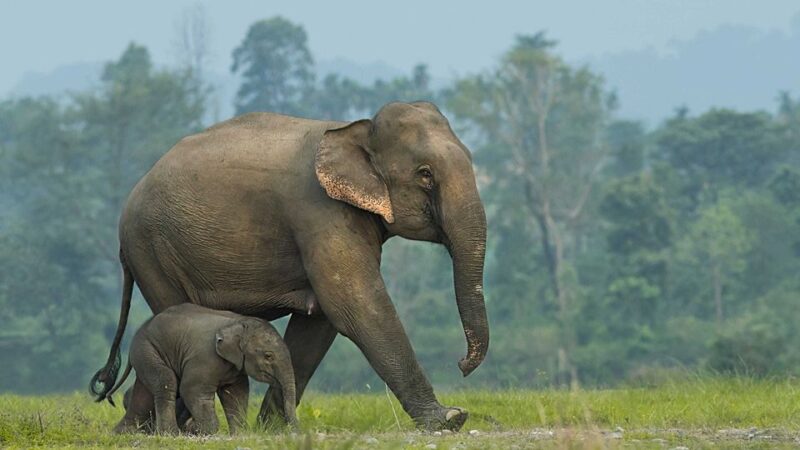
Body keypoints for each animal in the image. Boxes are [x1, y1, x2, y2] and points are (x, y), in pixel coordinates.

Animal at [107, 303, 297, 434]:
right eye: (268, 356)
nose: (296, 430)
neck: (238, 321)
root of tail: (140, 330)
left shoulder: (235, 368)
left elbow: (236, 394)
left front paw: (239, 433)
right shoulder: (205, 358)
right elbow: (191, 389)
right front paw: (200, 431)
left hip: (147, 353)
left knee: (144, 392)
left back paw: (122, 432)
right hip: (148, 348)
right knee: (166, 381)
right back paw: (171, 434)